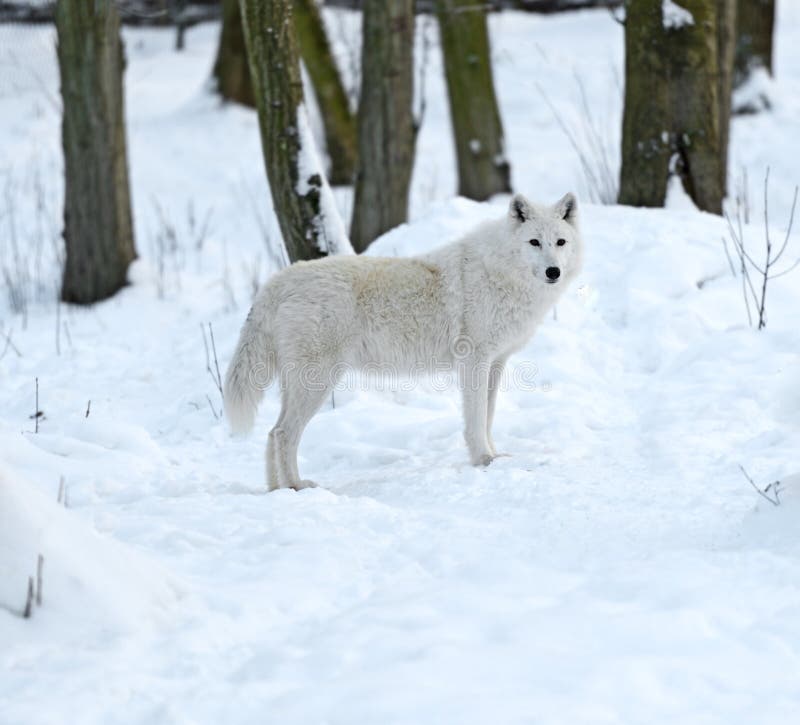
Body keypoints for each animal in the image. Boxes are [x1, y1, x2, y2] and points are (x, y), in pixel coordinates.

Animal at [224, 192, 583, 490]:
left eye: (560, 242)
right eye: (534, 242)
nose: (553, 272)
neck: (502, 274)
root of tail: (278, 280)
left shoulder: (496, 362)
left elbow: (488, 417)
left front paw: (494, 458)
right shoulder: (474, 362)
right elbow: (475, 420)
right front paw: (483, 460)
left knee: (271, 433)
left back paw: (277, 490)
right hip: (317, 383)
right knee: (283, 434)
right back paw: (298, 487)